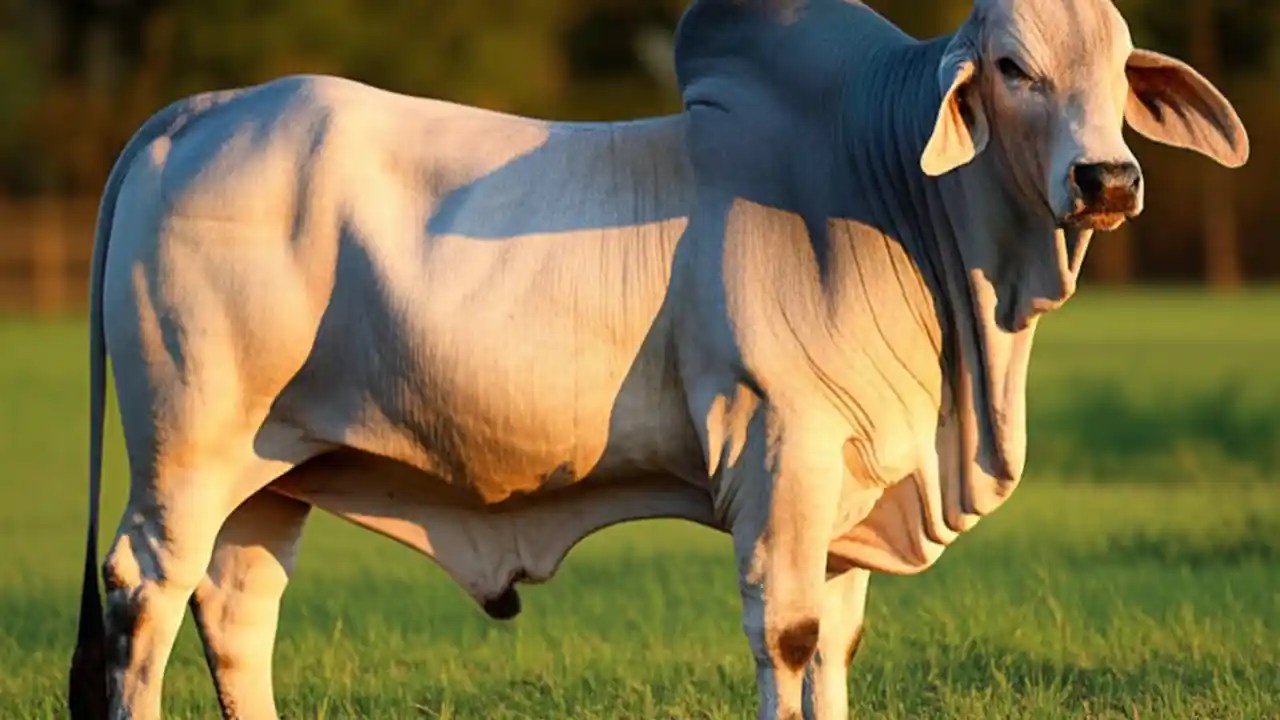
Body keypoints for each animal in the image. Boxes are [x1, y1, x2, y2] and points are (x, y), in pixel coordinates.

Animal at [68, 0, 1249, 718]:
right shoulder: (781, 453)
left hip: (275, 470)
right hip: (185, 453)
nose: (1105, 180)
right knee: (145, 593)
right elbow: (787, 637)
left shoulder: (848, 492)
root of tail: (192, 114)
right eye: (1012, 66)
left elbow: (835, 647)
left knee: (236, 610)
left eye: (1118, 66)